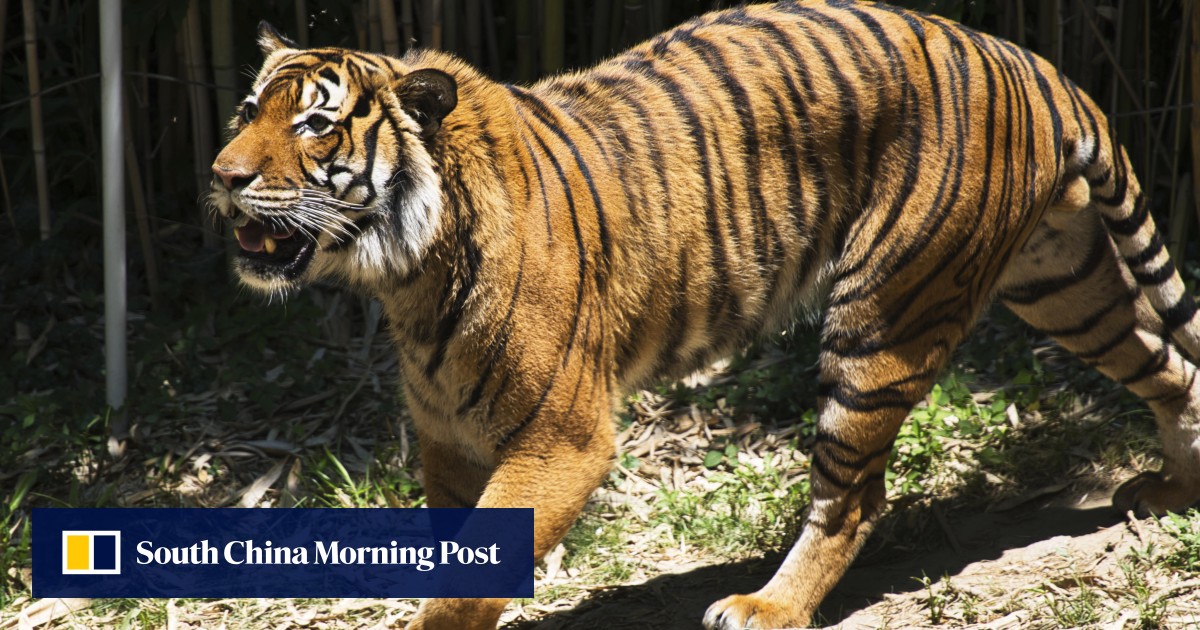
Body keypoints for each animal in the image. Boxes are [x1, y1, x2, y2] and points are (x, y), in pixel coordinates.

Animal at [208, 1, 1200, 628]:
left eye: (315, 127)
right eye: (247, 110)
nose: (222, 176)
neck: (408, 275)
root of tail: (1025, 58)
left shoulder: (562, 440)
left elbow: (460, 596)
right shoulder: (449, 444)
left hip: (886, 314)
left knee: (854, 492)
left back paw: (770, 607)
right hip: (1059, 276)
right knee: (1169, 363)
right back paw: (1176, 492)